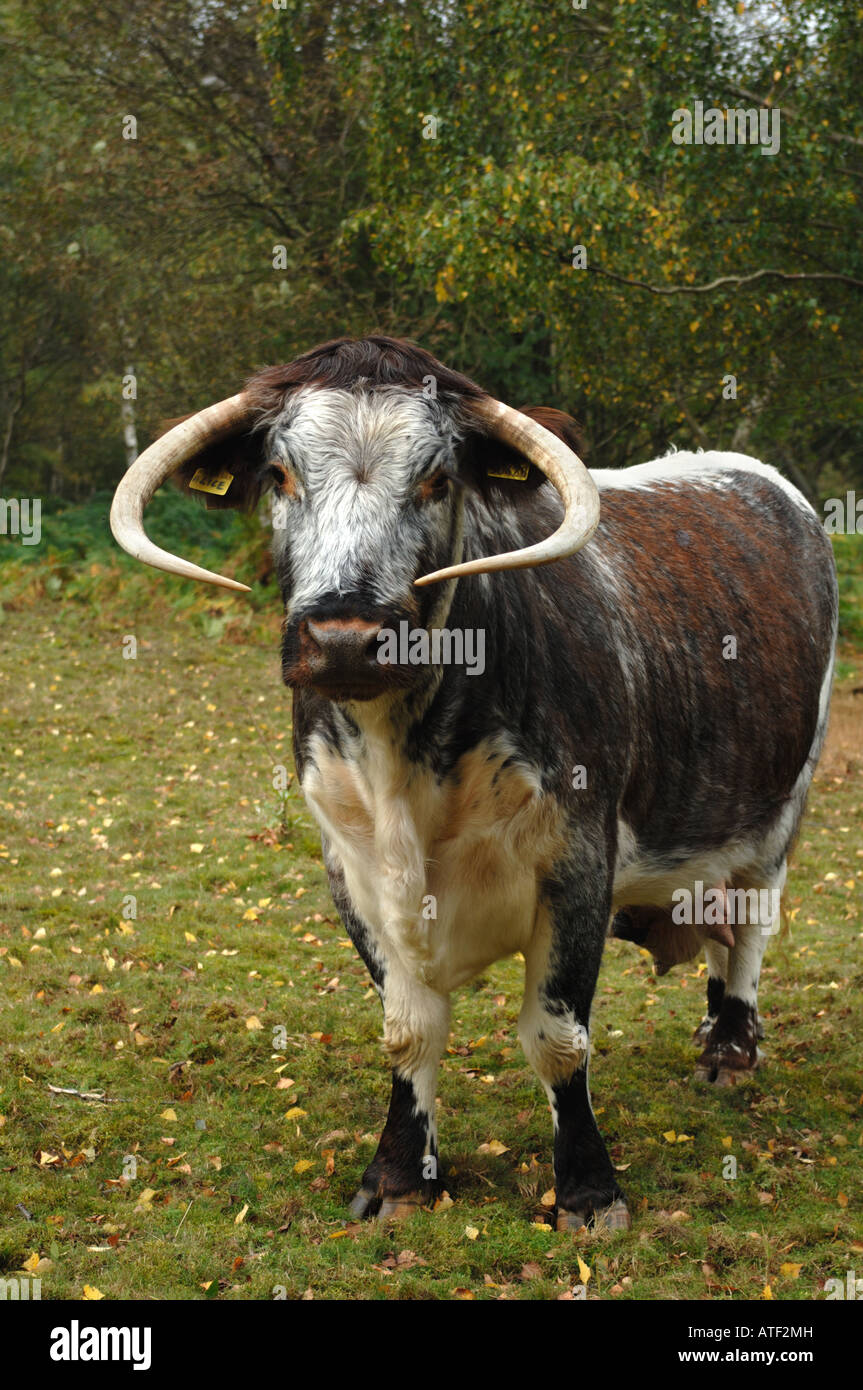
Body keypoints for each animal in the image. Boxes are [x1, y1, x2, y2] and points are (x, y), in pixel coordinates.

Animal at [110, 335, 838, 1231]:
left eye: (437, 478)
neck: (403, 768)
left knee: (749, 928)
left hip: (778, 812)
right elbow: (407, 1030)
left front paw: (588, 1189)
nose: (344, 638)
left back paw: (731, 1048)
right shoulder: (351, 869)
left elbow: (556, 1039)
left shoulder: (577, 864)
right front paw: (399, 1175)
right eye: (279, 474)